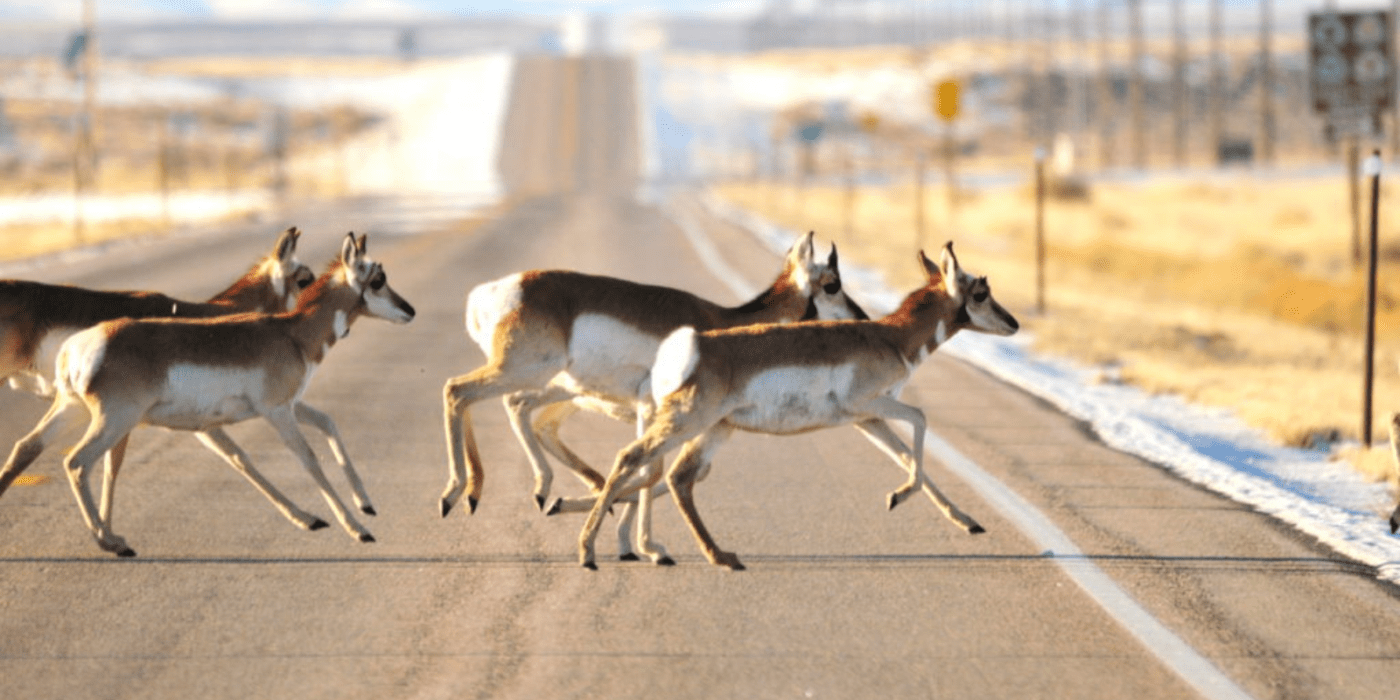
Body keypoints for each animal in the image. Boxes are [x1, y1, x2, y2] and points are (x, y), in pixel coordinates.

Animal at [0, 233, 415, 556]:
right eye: (378, 279)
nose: (409, 310)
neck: (290, 332)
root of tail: (80, 345)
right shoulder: (277, 412)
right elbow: (308, 460)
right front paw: (357, 529)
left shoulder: (281, 407)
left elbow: (325, 425)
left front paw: (361, 506)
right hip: (114, 421)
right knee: (76, 462)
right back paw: (112, 542)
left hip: (73, 410)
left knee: (31, 448)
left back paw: (111, 538)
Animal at [439, 231, 866, 560]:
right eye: (832, 284)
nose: (864, 320)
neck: (721, 322)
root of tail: (494, 291)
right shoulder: (656, 410)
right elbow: (652, 470)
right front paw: (648, 547)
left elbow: (660, 471)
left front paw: (631, 544)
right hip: (526, 372)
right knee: (458, 391)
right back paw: (460, 494)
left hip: (554, 386)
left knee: (513, 407)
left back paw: (528, 492)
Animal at [576, 242, 1018, 570]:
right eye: (981, 292)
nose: (1014, 324)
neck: (890, 336)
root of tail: (694, 345)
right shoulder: (870, 405)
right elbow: (921, 421)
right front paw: (898, 497)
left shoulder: (868, 419)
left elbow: (907, 456)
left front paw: (966, 521)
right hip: (688, 422)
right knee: (632, 458)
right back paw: (589, 552)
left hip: (717, 428)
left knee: (679, 476)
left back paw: (722, 556)